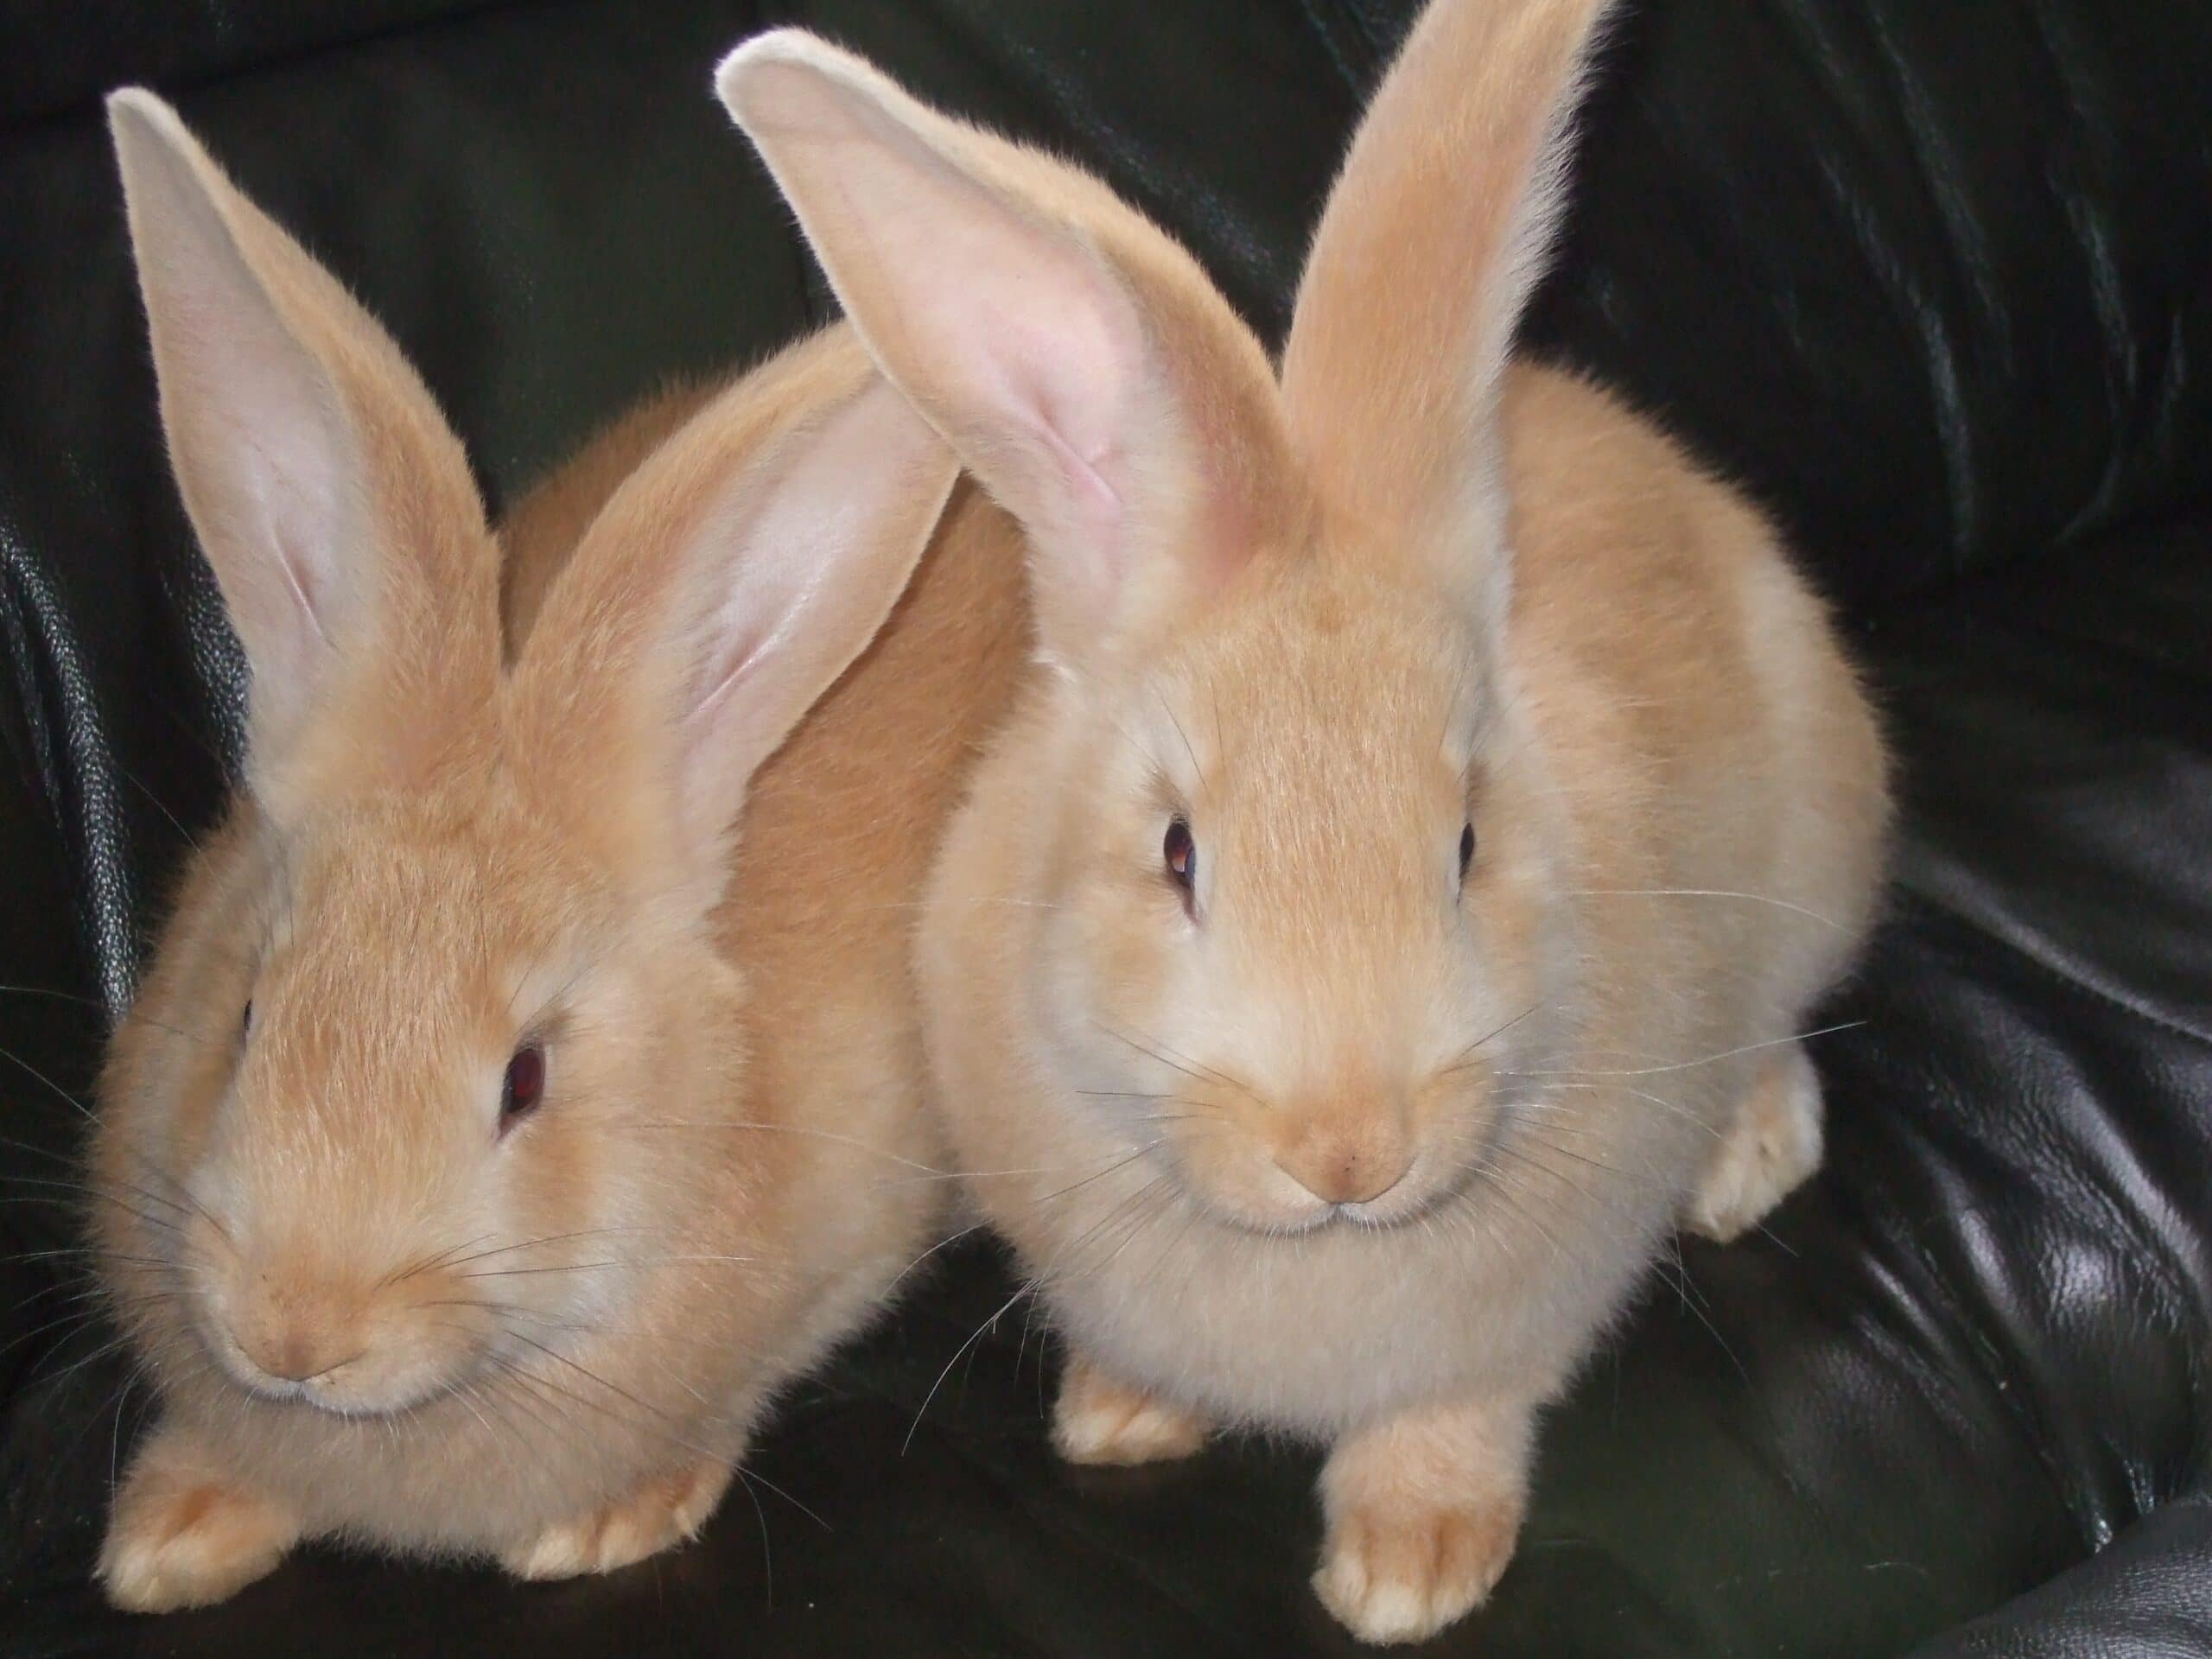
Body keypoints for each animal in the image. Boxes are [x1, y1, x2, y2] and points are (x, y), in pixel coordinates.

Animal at [719, 0, 1891, 1642]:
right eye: (1177, 854)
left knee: (1787, 1020)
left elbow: (1458, 1412)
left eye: (1466, 845)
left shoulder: (1513, 1327)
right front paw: (1118, 1417)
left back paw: (1744, 1161)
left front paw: (1405, 1573)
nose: (1350, 1154)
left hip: (1821, 845)